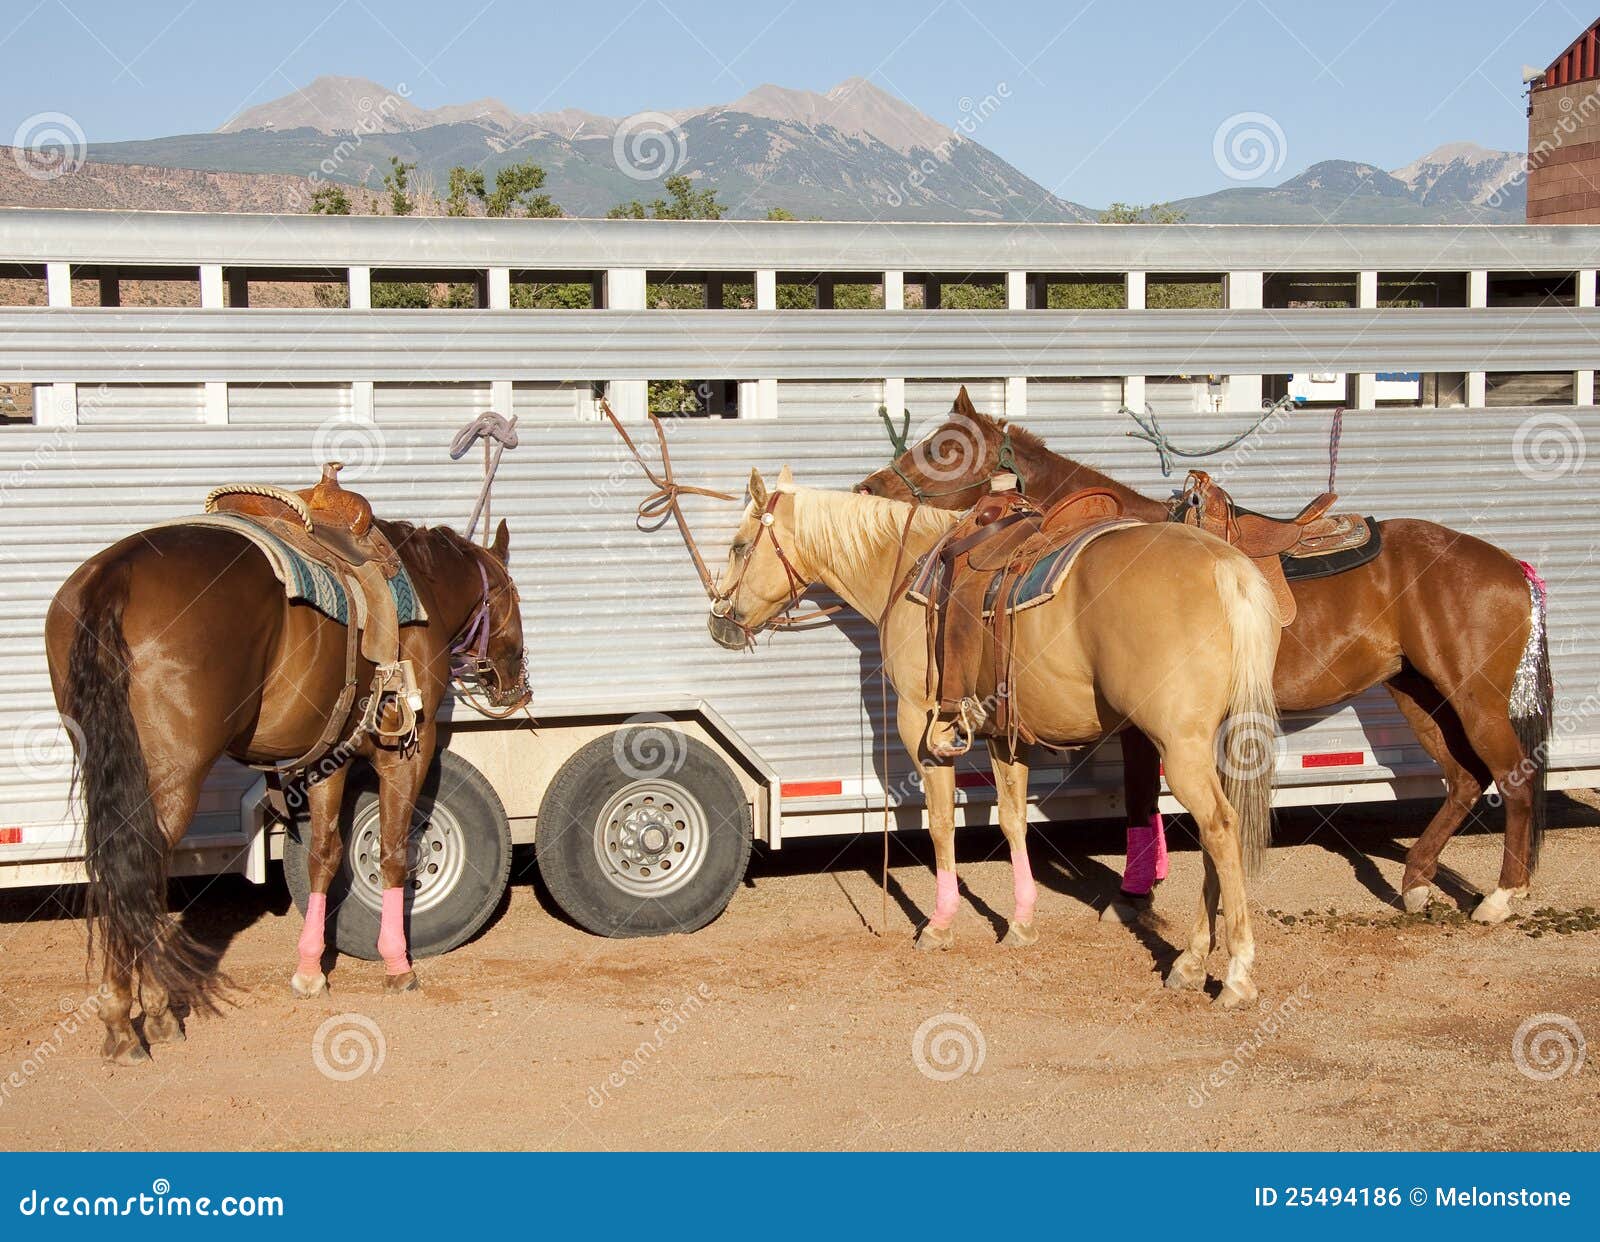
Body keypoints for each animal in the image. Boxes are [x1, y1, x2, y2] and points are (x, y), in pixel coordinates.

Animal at [45, 513, 528, 1064]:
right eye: (514, 594)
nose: (516, 681)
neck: (424, 589)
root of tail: (118, 572)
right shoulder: (406, 752)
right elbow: (392, 853)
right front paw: (397, 965)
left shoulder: (326, 760)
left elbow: (324, 854)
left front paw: (309, 971)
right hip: (170, 779)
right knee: (136, 869)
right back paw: (142, 1020)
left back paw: (132, 1017)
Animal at [707, 467, 1281, 1008]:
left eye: (738, 546)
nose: (720, 623)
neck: (904, 566)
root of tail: (1226, 565)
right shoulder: (1005, 737)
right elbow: (1012, 821)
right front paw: (1022, 921)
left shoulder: (921, 728)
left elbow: (941, 824)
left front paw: (939, 925)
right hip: (1217, 744)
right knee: (1215, 835)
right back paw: (1190, 961)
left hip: (1180, 749)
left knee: (1221, 829)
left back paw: (1234, 975)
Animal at [857, 389, 1554, 924]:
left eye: (946, 448)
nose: (868, 485)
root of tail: (1511, 567)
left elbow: (1141, 799)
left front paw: (1134, 897)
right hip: (1418, 694)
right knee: (1464, 780)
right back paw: (1414, 883)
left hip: (1474, 698)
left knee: (1513, 779)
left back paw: (1502, 897)